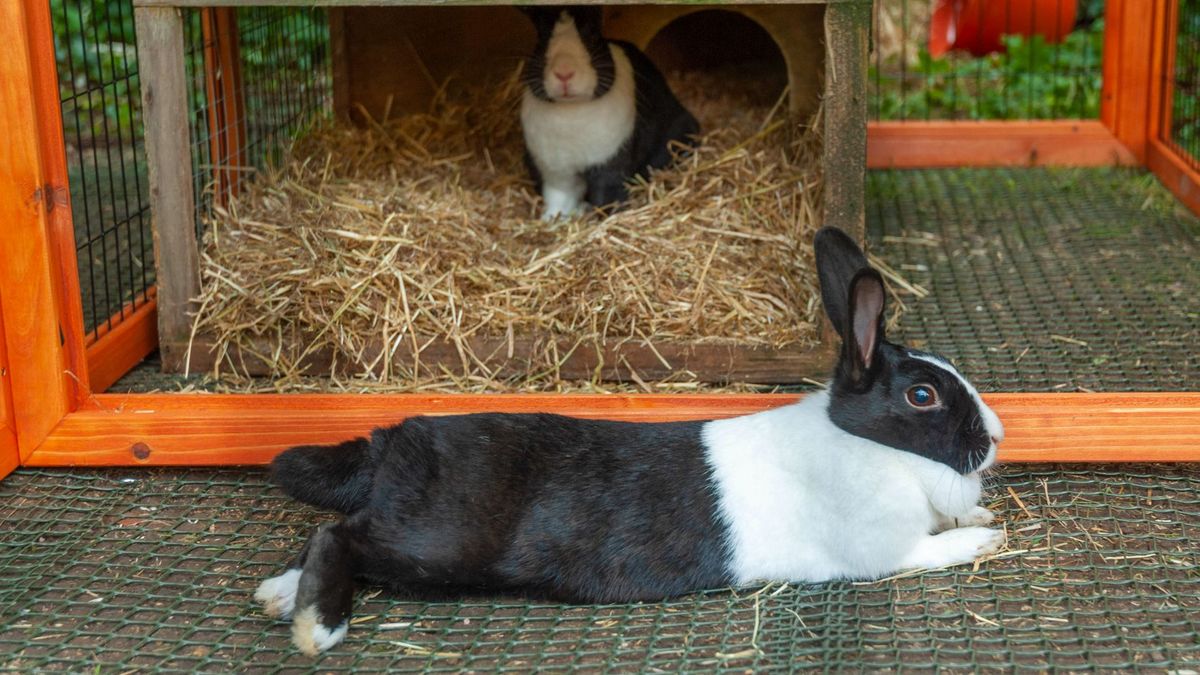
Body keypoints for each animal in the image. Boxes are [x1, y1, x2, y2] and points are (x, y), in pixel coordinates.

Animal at [255, 226, 1006, 655]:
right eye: (922, 396)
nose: (996, 435)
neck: (880, 452)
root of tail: (392, 439)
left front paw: (978, 512)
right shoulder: (884, 551)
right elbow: (933, 550)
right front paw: (985, 537)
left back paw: (277, 595)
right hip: (439, 544)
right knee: (338, 537)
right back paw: (316, 628)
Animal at [518, 6, 700, 220]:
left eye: (593, 35)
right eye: (542, 38)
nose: (564, 72)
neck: (571, 108)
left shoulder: (610, 165)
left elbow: (606, 193)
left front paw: (607, 217)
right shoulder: (556, 171)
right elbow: (558, 197)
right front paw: (553, 220)